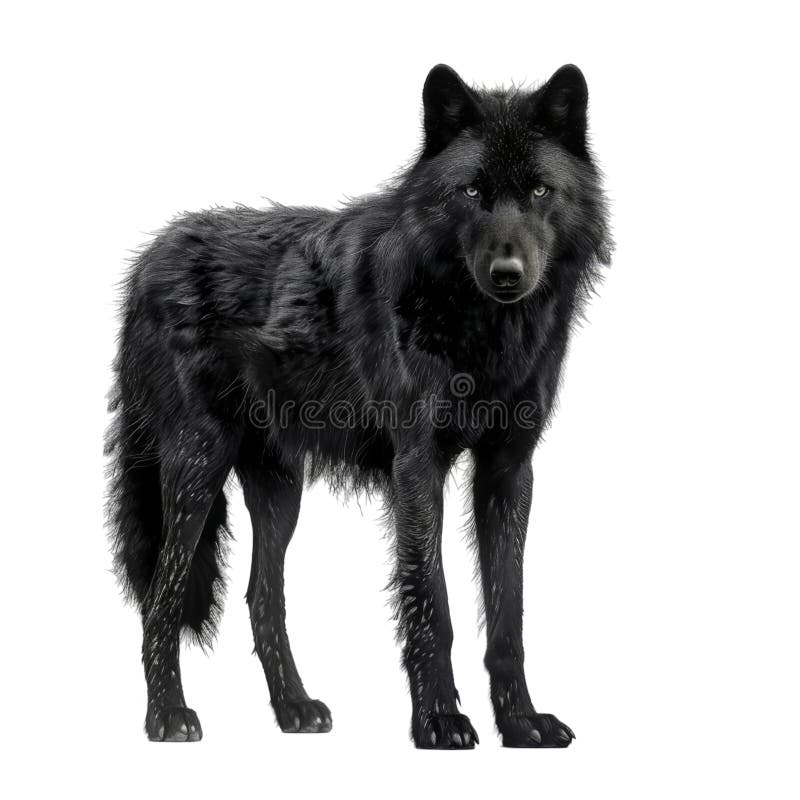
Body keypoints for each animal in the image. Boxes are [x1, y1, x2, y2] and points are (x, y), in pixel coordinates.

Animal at [106, 63, 611, 747]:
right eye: (472, 192)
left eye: (539, 190)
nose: (508, 273)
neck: (482, 328)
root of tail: (147, 261)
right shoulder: (418, 466)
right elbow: (432, 603)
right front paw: (439, 720)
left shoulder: (509, 469)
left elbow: (509, 615)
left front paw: (521, 722)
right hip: (196, 469)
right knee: (161, 592)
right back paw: (167, 716)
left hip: (279, 493)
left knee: (262, 599)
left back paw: (294, 709)